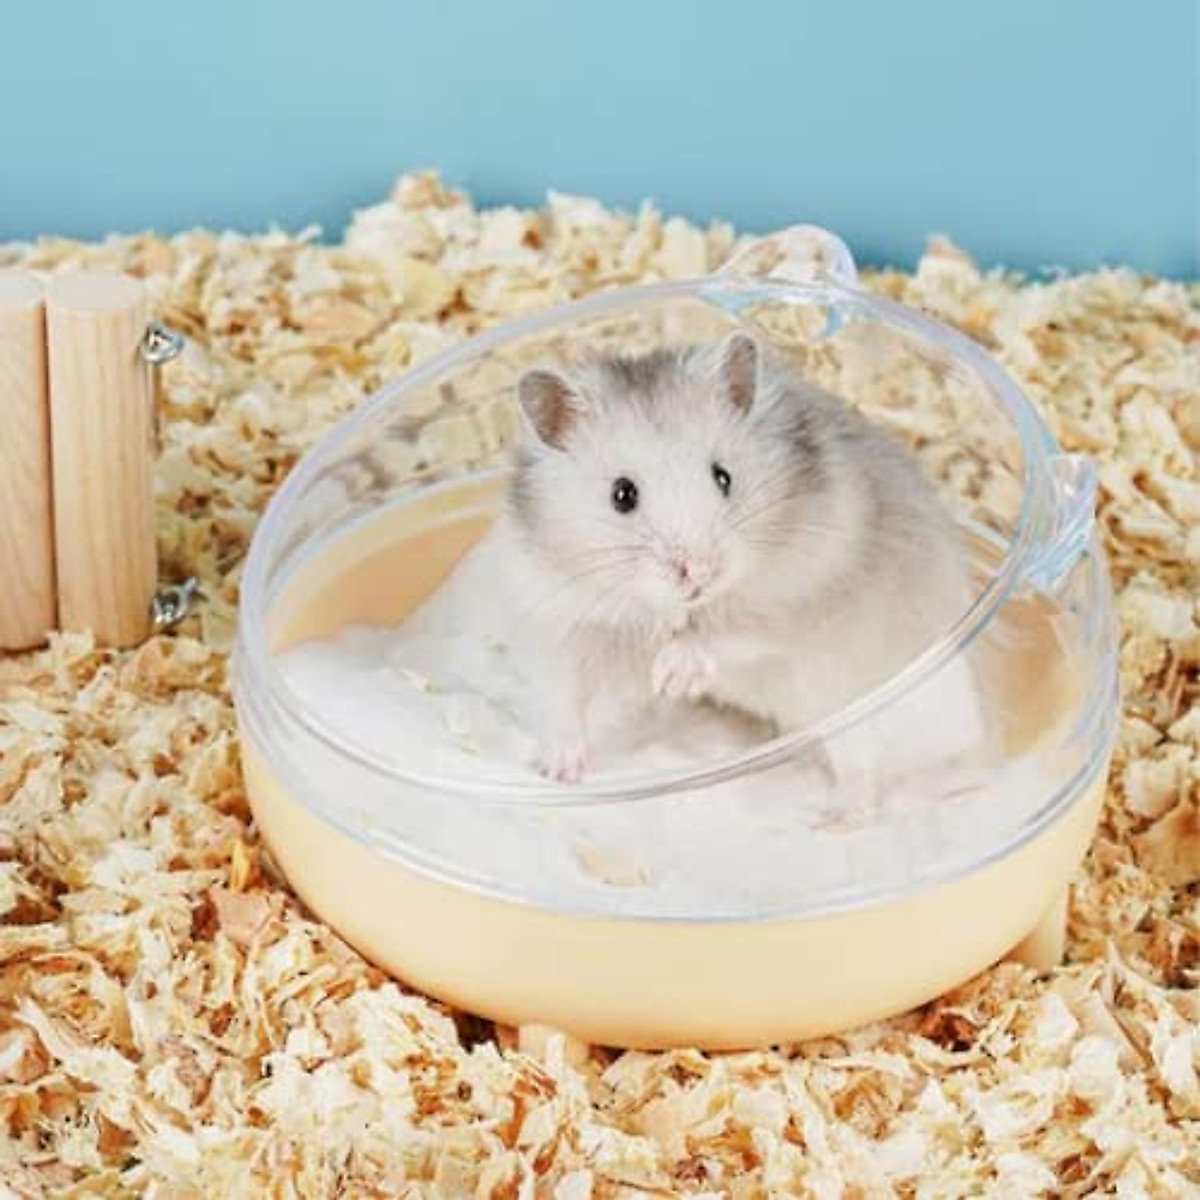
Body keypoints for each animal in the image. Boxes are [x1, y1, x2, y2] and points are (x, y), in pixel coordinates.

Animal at [495, 331, 987, 785]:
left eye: (723, 477)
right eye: (622, 495)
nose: (700, 572)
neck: (676, 607)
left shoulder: (799, 593)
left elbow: (731, 632)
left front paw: (671, 673)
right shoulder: (558, 618)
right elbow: (561, 695)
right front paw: (560, 773)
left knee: (865, 776)